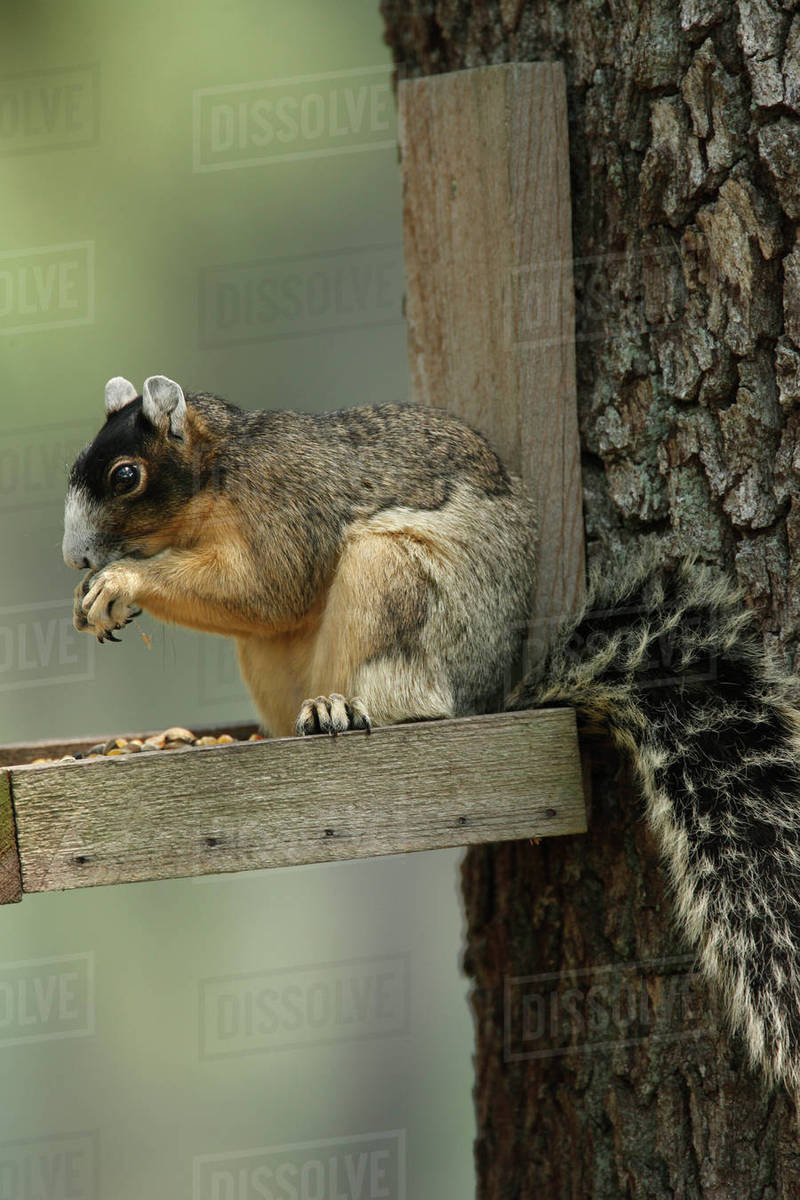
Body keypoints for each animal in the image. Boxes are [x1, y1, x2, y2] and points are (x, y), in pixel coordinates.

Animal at [63, 374, 800, 1097]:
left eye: (126, 475)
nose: (74, 557)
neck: (217, 474)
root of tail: (491, 697)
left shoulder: (285, 506)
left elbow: (266, 586)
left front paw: (121, 582)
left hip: (394, 579)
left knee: (414, 699)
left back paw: (343, 710)